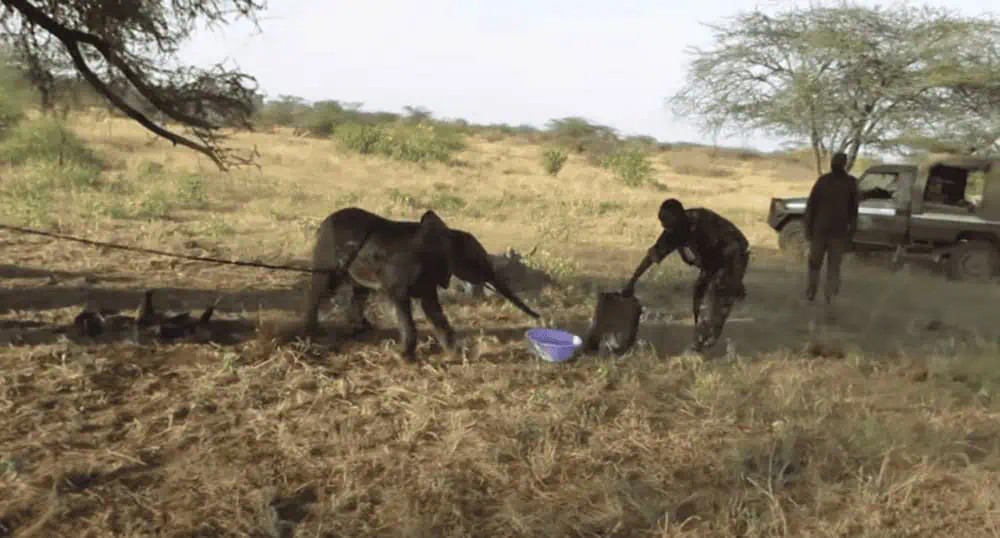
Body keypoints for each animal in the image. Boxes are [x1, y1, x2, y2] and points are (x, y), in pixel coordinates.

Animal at [303, 207, 541, 361]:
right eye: (480, 262)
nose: (539, 318)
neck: (444, 234)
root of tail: (323, 223)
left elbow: (432, 308)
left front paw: (455, 355)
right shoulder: (400, 273)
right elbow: (401, 301)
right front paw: (404, 358)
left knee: (359, 291)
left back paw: (362, 329)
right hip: (327, 251)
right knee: (323, 286)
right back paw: (312, 331)